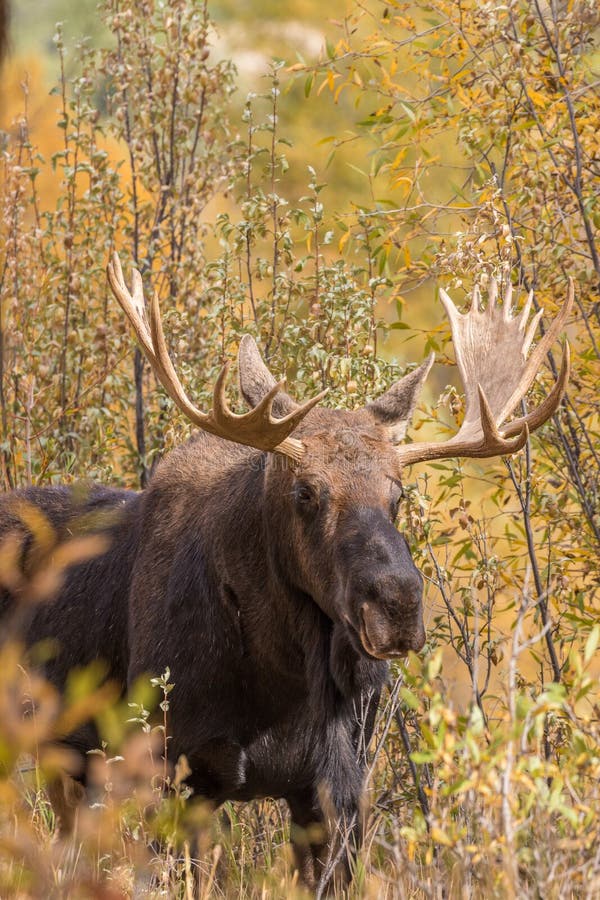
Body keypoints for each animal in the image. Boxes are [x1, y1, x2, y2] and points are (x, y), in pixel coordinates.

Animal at [0, 253, 571, 893]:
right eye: (306, 492)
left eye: (397, 494)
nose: (397, 604)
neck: (280, 678)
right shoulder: (159, 766)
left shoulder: (334, 789)